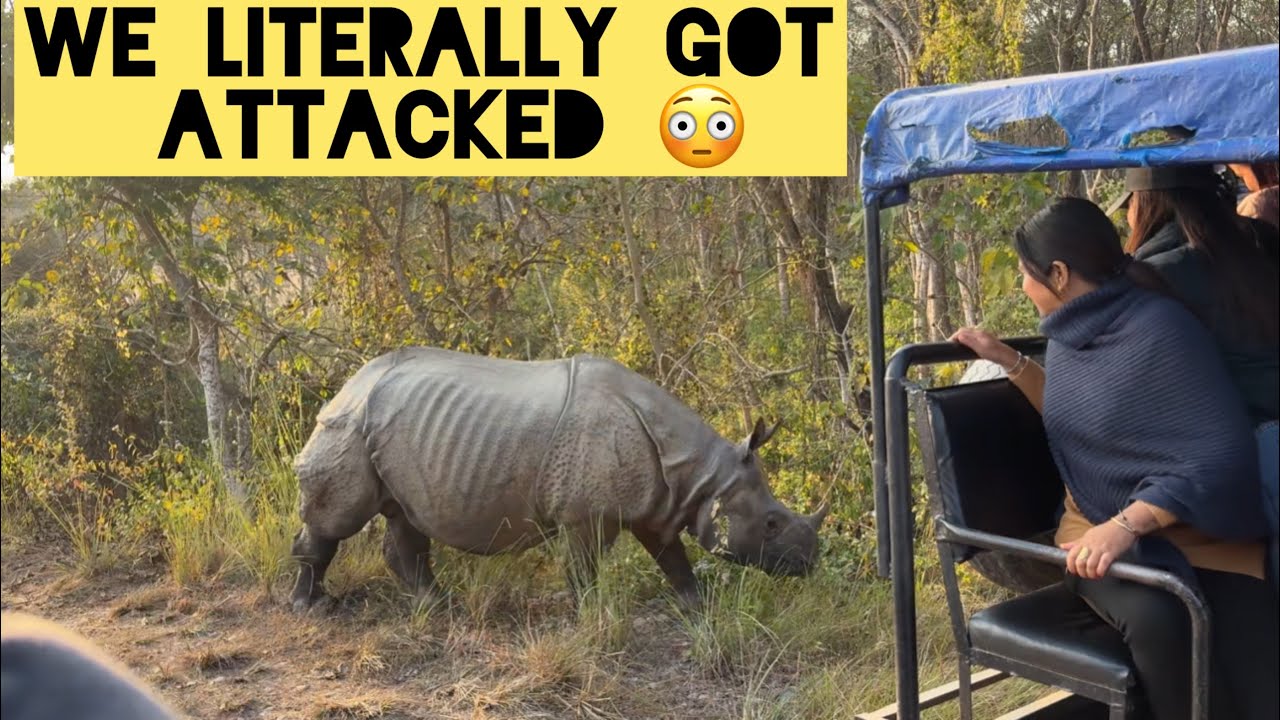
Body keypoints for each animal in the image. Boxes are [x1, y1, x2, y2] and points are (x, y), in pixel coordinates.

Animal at [289, 347, 829, 613]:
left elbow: (671, 557)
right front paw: (591, 615)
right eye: (772, 524)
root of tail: (349, 384)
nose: (808, 566)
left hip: (390, 431)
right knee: (338, 519)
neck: (702, 474)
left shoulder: (660, 503)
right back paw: (309, 609)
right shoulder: (586, 515)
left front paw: (699, 607)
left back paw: (437, 607)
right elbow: (584, 570)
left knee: (404, 514)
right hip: (349, 428)